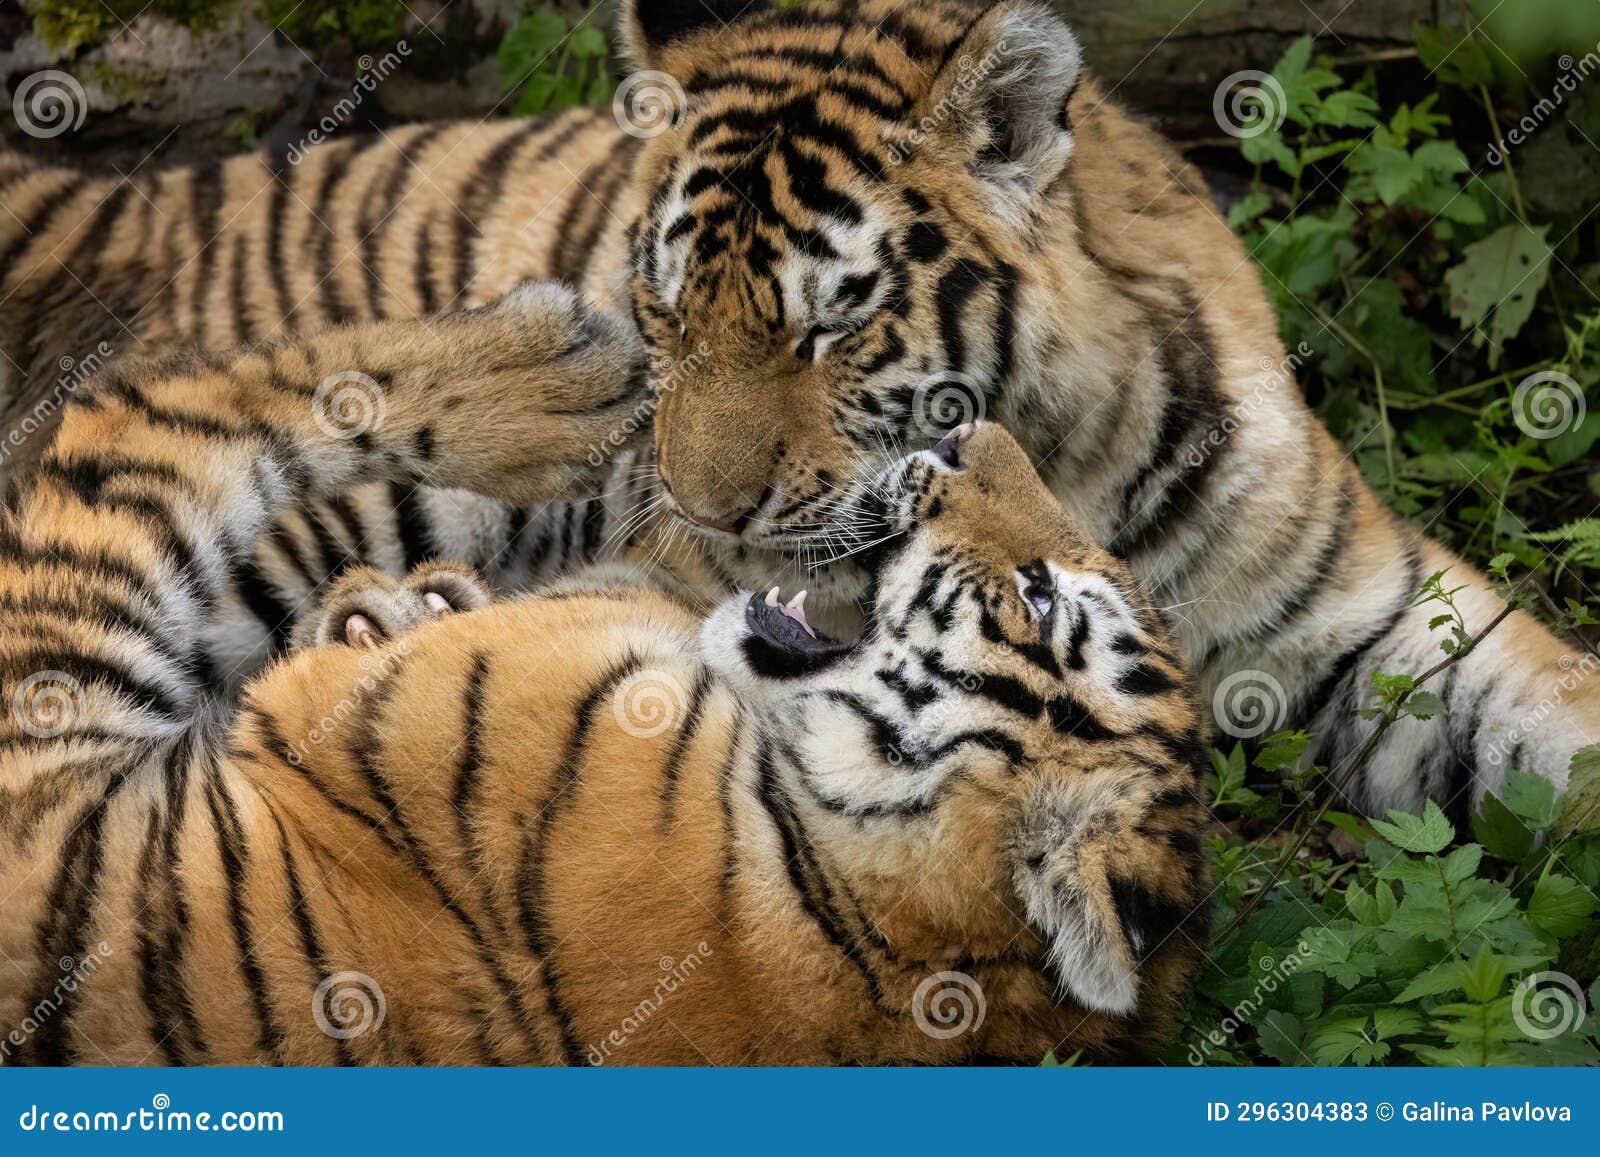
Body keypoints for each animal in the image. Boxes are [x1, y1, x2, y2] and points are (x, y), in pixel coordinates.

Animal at [0, 285, 1208, 1065]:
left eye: (1042, 599)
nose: (969, 437)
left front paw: (380, 611)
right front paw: (391, 598)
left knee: (159, 414)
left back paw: (561, 368)